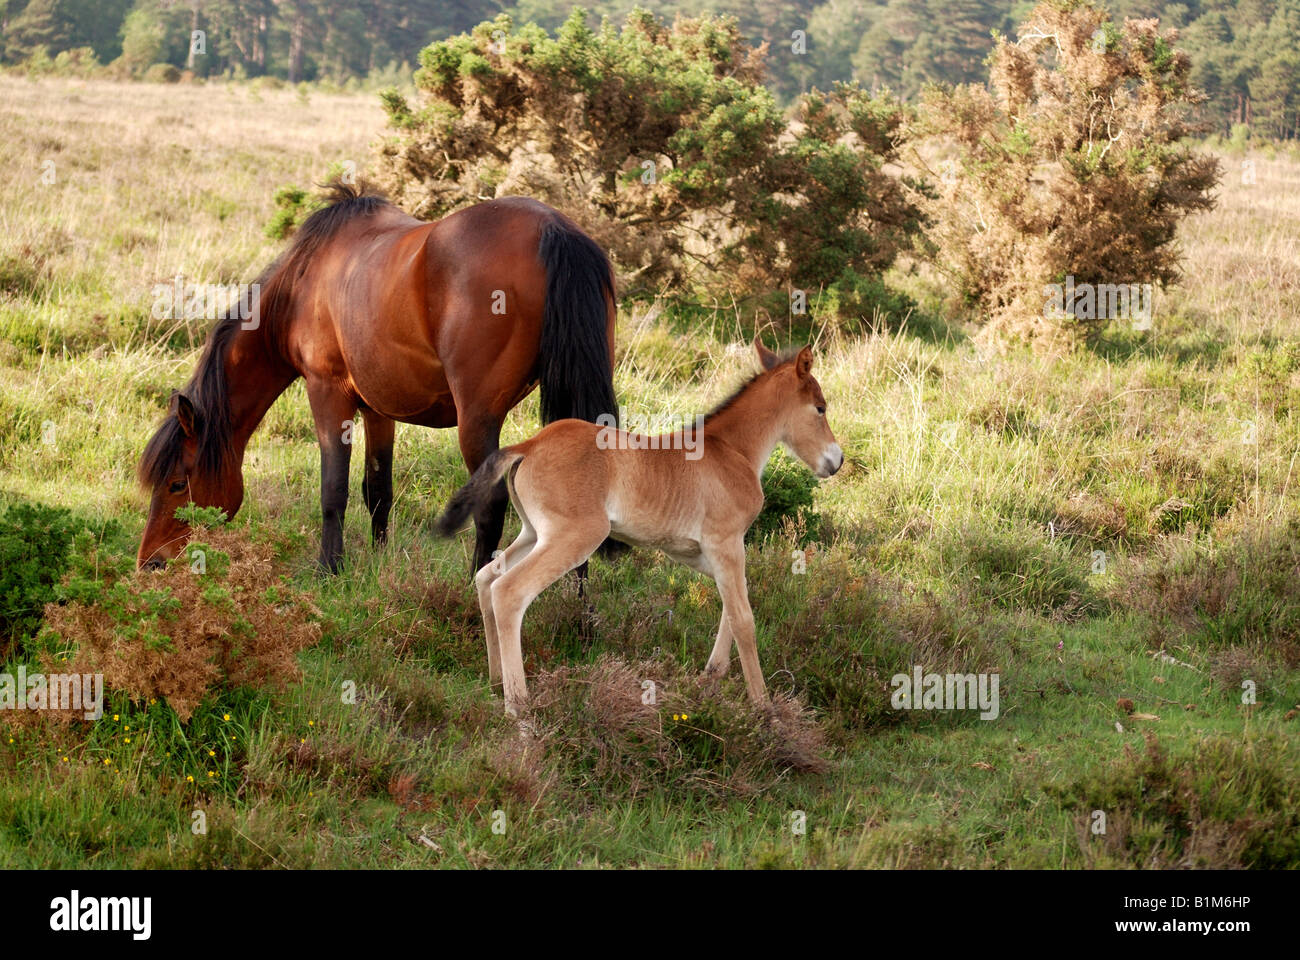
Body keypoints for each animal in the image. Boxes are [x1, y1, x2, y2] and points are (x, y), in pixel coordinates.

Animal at [137, 181, 618, 575]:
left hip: (477, 420)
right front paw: (378, 559)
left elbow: (334, 490)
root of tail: (553, 229)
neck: (302, 284)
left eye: (177, 483)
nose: (150, 563)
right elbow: (378, 490)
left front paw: (329, 570)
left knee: (491, 505)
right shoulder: (377, 409)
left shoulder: (327, 393)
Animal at [435, 339, 843, 716]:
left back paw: (495, 682)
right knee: (509, 591)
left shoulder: (702, 554)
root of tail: (530, 444)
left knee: (486, 578)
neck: (731, 451)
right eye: (820, 408)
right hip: (576, 536)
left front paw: (712, 675)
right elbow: (744, 619)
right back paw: (518, 707)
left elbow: (734, 602)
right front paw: (763, 708)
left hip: (534, 534)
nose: (835, 461)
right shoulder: (725, 543)